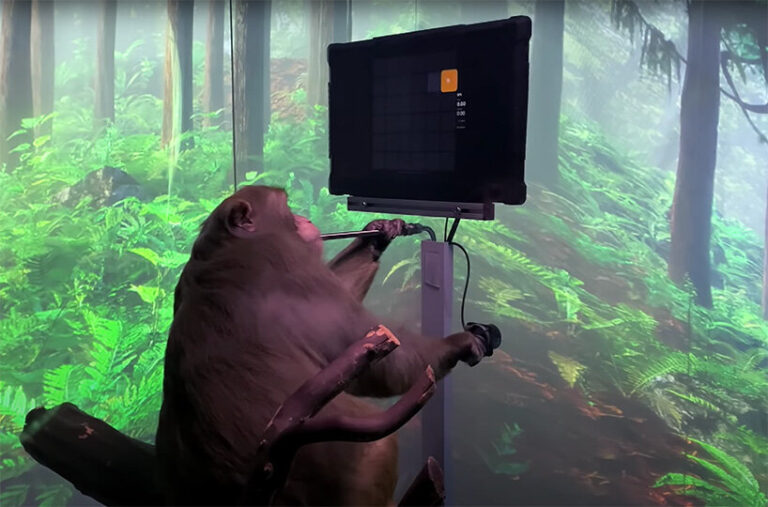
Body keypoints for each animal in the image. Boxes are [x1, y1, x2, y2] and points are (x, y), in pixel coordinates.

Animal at [155, 185, 500, 506]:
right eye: (287, 208)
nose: (304, 218)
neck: (227, 248)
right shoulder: (294, 272)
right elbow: (384, 365)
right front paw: (461, 343)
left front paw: (378, 234)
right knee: (377, 450)